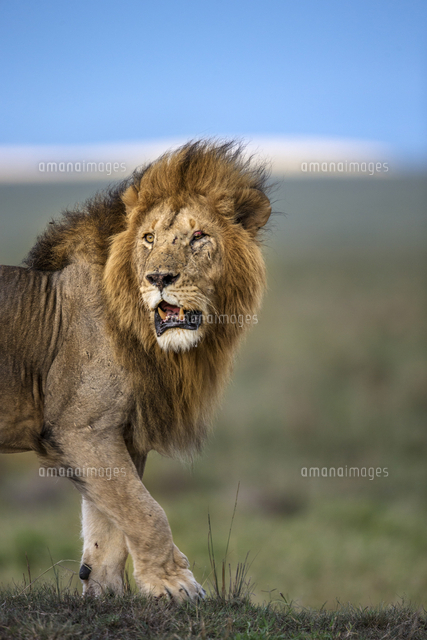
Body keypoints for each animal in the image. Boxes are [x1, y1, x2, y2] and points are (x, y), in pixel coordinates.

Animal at [0, 141, 271, 600]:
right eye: (148, 238)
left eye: (199, 236)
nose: (159, 277)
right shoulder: (81, 428)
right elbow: (145, 511)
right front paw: (176, 584)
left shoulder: (120, 433)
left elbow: (109, 523)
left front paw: (105, 592)